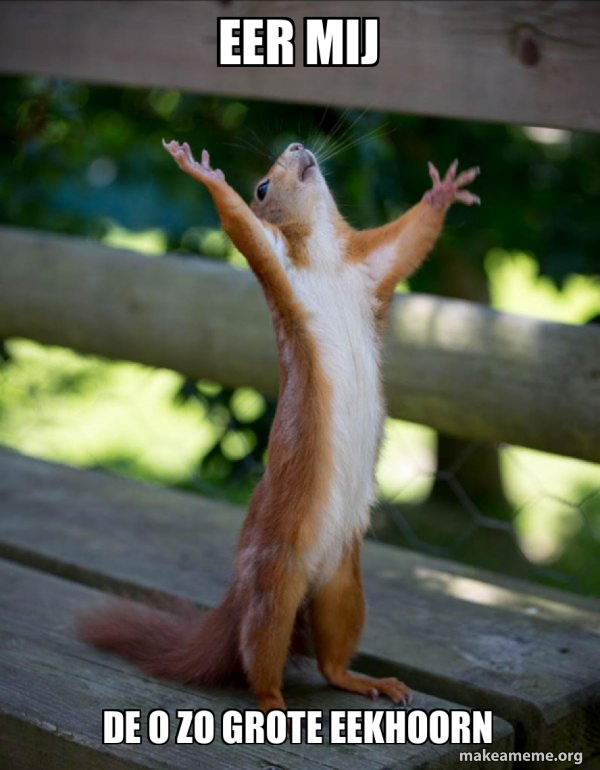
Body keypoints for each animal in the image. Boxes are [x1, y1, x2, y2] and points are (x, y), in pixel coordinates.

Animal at [77, 139, 479, 713]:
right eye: (262, 187)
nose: (296, 146)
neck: (326, 258)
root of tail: (238, 595)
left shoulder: (372, 267)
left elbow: (410, 240)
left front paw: (442, 192)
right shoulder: (276, 264)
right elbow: (240, 226)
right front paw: (204, 174)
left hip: (344, 586)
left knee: (331, 658)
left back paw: (365, 680)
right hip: (274, 583)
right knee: (259, 654)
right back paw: (273, 703)